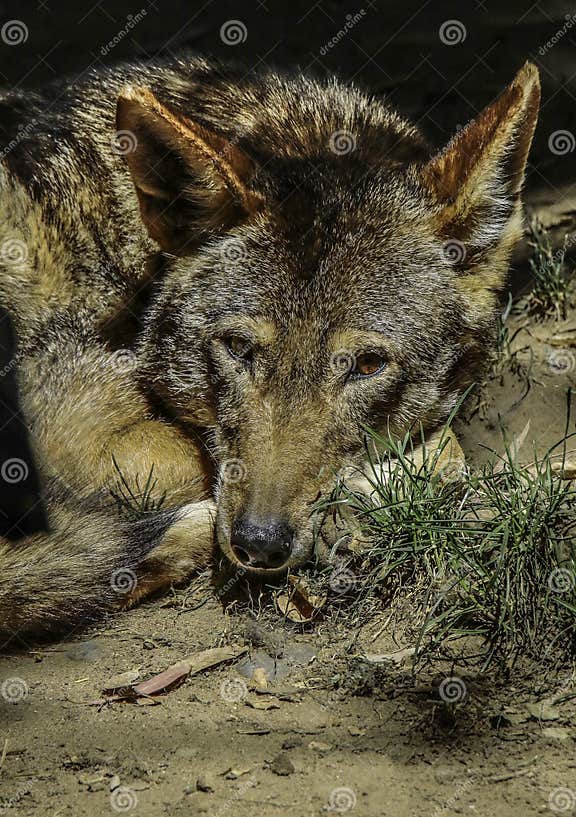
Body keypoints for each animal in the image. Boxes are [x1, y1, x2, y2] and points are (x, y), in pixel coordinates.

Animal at [0, 57, 539, 641]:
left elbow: (446, 453)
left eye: (368, 365)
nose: (259, 544)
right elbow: (192, 466)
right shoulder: (57, 429)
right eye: (239, 348)